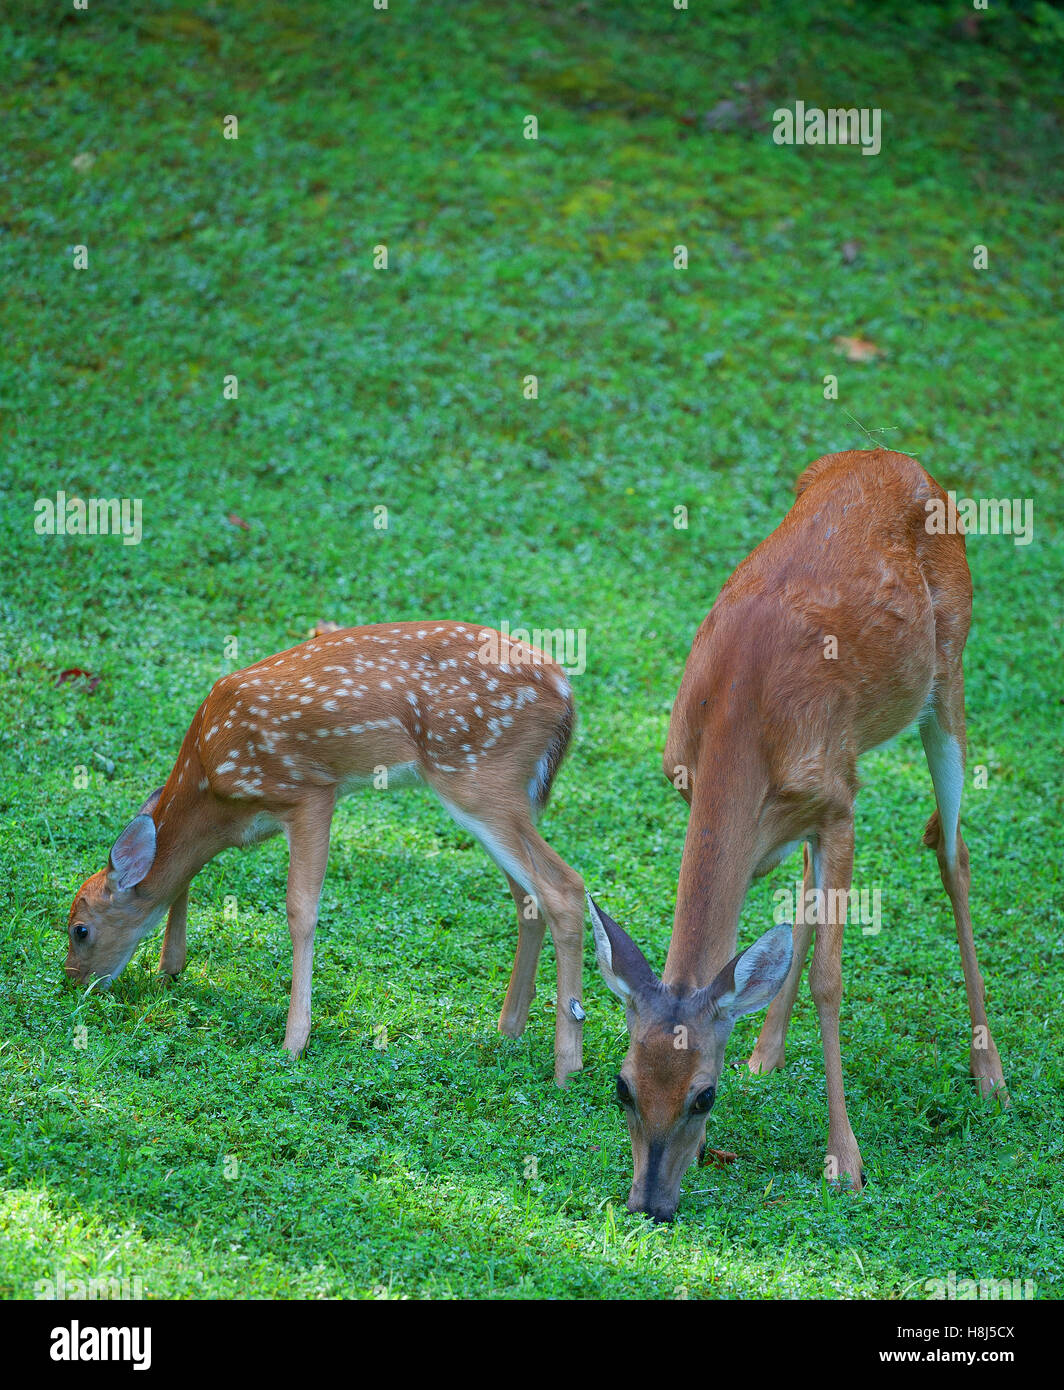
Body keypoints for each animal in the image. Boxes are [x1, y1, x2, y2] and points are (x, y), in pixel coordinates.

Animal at [65, 621, 587, 1085]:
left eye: (80, 929)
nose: (73, 982)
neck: (212, 789)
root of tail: (566, 694)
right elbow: (185, 881)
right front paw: (169, 968)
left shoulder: (308, 792)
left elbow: (301, 910)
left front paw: (294, 1041)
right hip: (504, 793)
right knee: (528, 899)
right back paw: (509, 1031)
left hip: (478, 776)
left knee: (564, 887)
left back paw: (567, 1067)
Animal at [588, 449, 1008, 1222]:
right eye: (622, 1085)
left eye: (705, 1096)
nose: (650, 1205)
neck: (738, 718)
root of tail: (901, 460)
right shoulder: (747, 800)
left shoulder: (839, 805)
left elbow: (829, 978)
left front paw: (845, 1160)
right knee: (813, 894)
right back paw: (768, 1048)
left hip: (949, 674)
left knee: (951, 847)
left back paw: (988, 1070)